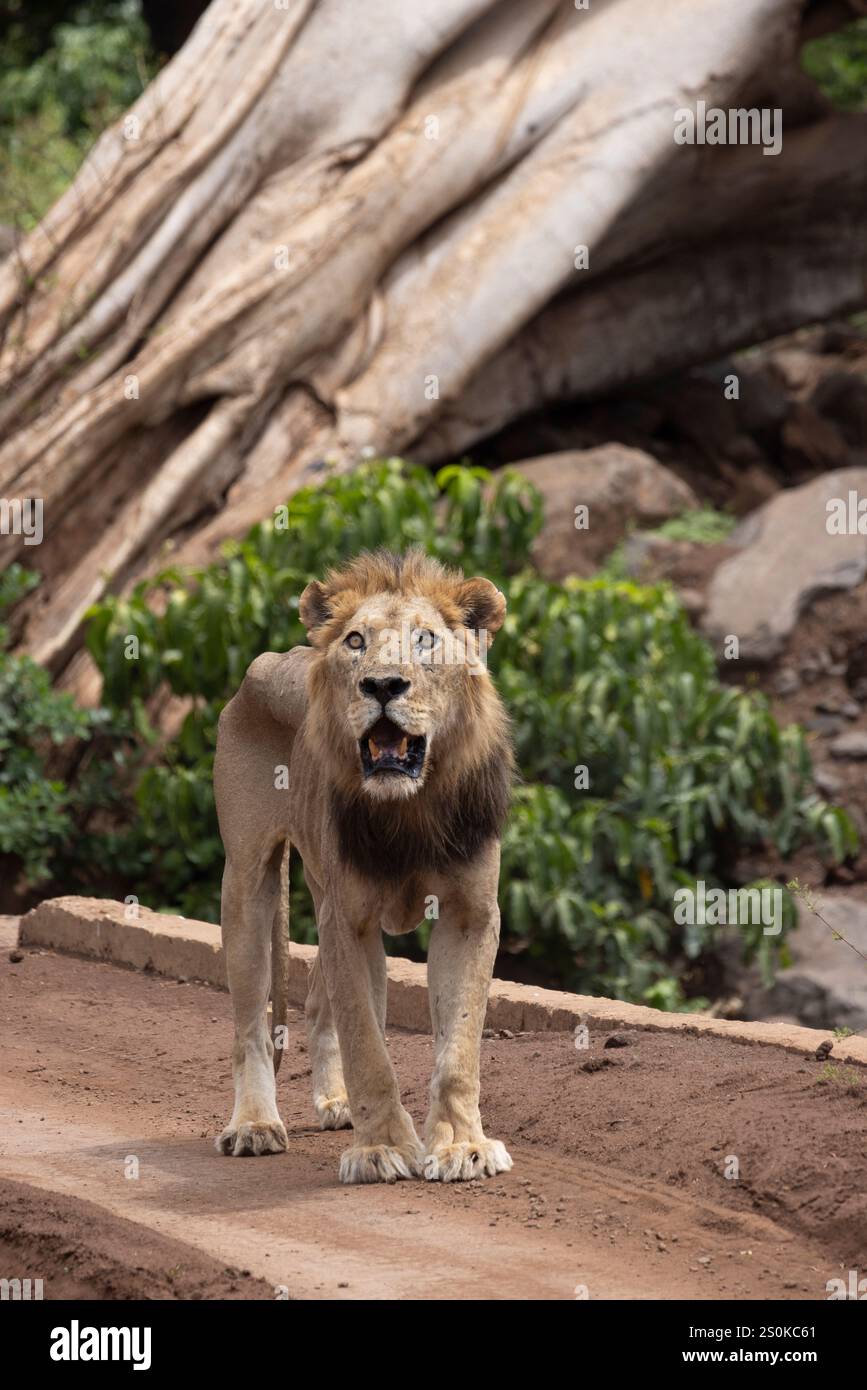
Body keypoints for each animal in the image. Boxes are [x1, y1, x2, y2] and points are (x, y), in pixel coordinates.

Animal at [213, 547, 515, 1183]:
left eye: (426, 640)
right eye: (356, 641)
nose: (381, 683)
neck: (410, 808)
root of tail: (274, 657)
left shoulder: (469, 914)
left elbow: (459, 1048)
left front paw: (462, 1147)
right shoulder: (348, 917)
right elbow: (368, 1047)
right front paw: (381, 1149)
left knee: (314, 998)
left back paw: (337, 1103)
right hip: (250, 879)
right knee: (251, 1023)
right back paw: (254, 1125)